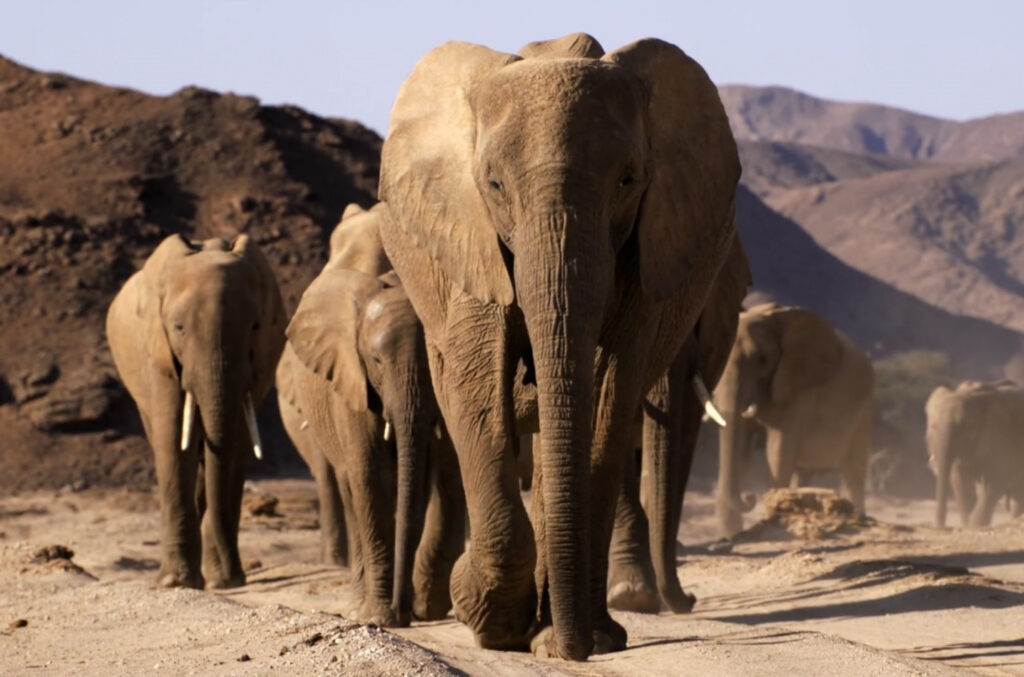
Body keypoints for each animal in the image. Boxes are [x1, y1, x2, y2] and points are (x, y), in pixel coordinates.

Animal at [106, 234, 285, 589]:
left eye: (255, 326)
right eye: (179, 328)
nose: (235, 578)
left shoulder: (261, 362)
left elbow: (237, 446)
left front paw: (221, 582)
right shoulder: (159, 355)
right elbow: (173, 439)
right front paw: (176, 583)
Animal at [282, 203, 466, 627]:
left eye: (436, 360)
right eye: (378, 361)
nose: (404, 610)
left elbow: (434, 478)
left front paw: (413, 610)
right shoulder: (350, 380)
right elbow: (373, 477)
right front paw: (382, 618)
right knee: (351, 485)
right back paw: (359, 605)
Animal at [377, 32, 745, 659]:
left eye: (627, 180)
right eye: (494, 184)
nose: (571, 652)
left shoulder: (643, 254)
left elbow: (606, 395)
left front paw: (570, 637)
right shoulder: (470, 240)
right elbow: (478, 392)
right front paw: (489, 618)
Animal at [713, 303, 874, 538]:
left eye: (762, 360)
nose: (749, 496)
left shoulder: (798, 389)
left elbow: (777, 451)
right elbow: (741, 451)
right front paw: (734, 535)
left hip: (864, 411)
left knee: (853, 472)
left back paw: (858, 518)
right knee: (805, 472)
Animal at [925, 380, 1024, 527]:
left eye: (965, 428)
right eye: (933, 427)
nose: (939, 526)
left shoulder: (1002, 438)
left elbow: (993, 483)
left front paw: (975, 525)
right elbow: (961, 481)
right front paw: (968, 524)